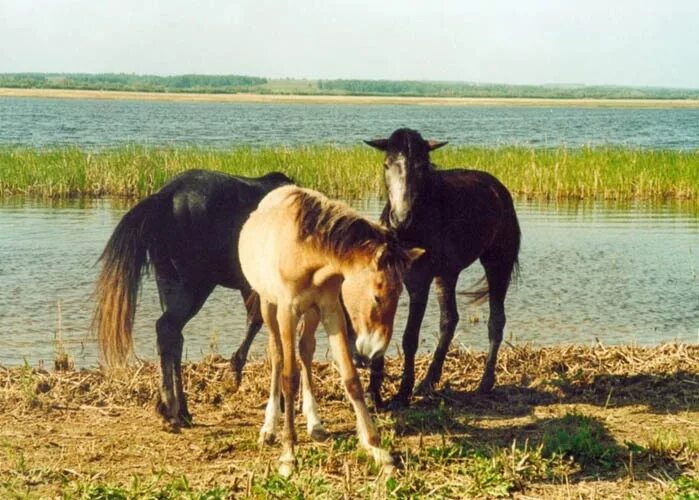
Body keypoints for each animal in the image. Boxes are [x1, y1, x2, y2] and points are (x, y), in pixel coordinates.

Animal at [91, 168, 292, 430]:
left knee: (172, 338)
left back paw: (179, 410)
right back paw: (171, 409)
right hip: (195, 287)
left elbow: (259, 324)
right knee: (168, 329)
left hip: (170, 284)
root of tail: (165, 196)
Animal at [364, 127, 524, 408]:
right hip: (447, 275)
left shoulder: (419, 283)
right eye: (386, 165)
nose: (400, 218)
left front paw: (402, 393)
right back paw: (429, 380)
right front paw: (374, 391)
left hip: (497, 265)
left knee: (496, 321)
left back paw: (484, 383)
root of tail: (498, 190)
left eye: (420, 167)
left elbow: (410, 338)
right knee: (449, 320)